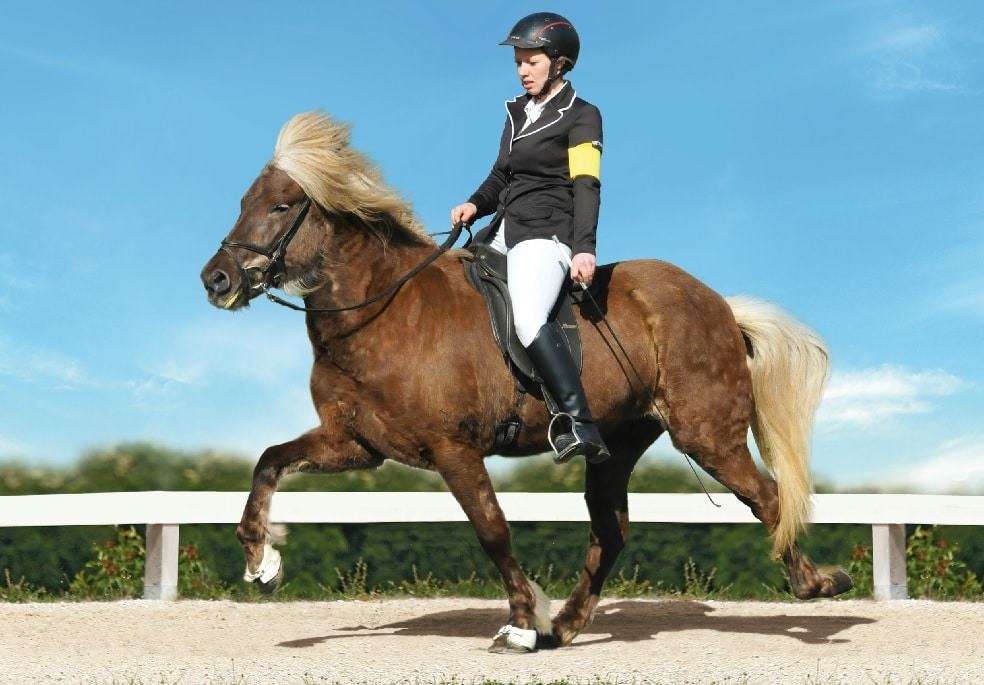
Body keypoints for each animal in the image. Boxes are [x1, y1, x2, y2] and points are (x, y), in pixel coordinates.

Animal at [200, 111, 853, 651]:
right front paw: (262, 563)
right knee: (612, 531)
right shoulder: (356, 445)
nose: (216, 280)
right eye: (244, 200)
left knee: (768, 497)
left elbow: (491, 529)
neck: (382, 310)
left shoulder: (454, 449)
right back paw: (564, 627)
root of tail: (718, 304)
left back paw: (817, 586)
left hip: (707, 434)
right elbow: (269, 461)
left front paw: (519, 620)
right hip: (617, 444)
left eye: (282, 206)